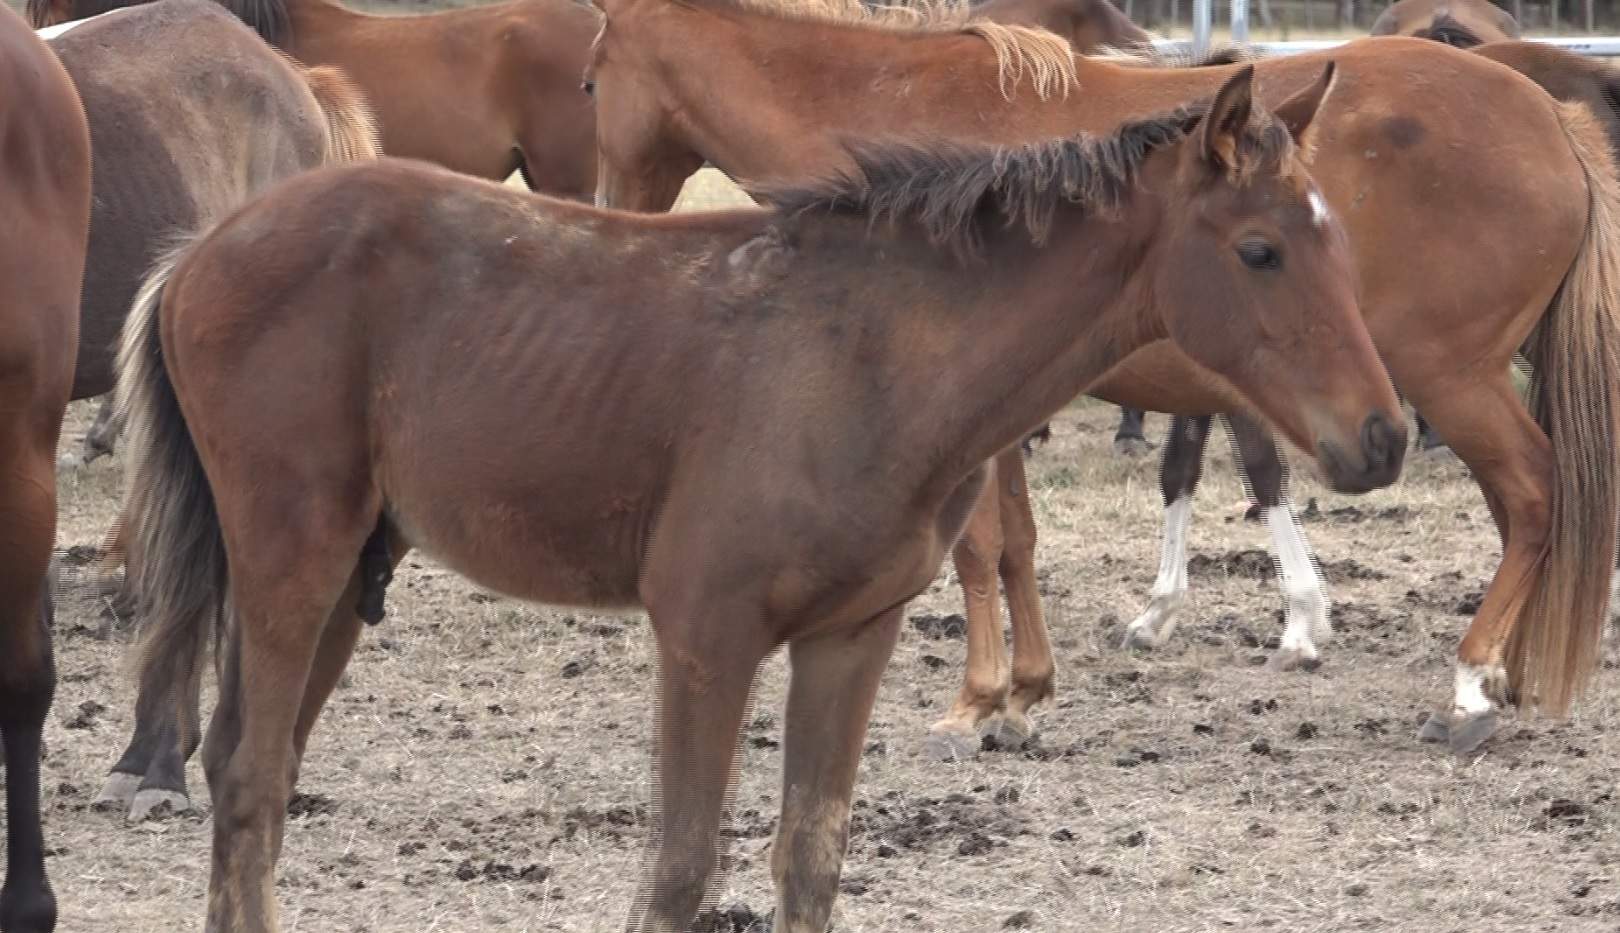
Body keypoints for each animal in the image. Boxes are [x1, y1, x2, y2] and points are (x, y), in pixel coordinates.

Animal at [116, 63, 1395, 931]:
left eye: (1341, 244)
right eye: (1262, 251)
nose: (1381, 439)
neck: (872, 357)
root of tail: (196, 255)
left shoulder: (851, 636)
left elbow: (808, 858)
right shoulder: (705, 633)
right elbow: (679, 872)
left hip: (349, 574)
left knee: (252, 770)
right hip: (292, 561)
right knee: (248, 778)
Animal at [585, 0, 1620, 757]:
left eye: (589, 79)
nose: (600, 213)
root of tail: (1552, 117)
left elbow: (978, 546)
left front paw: (979, 698)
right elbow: (1014, 541)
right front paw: (1025, 689)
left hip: (1454, 381)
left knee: (1536, 493)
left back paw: (1471, 684)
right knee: (1528, 510)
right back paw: (1508, 673)